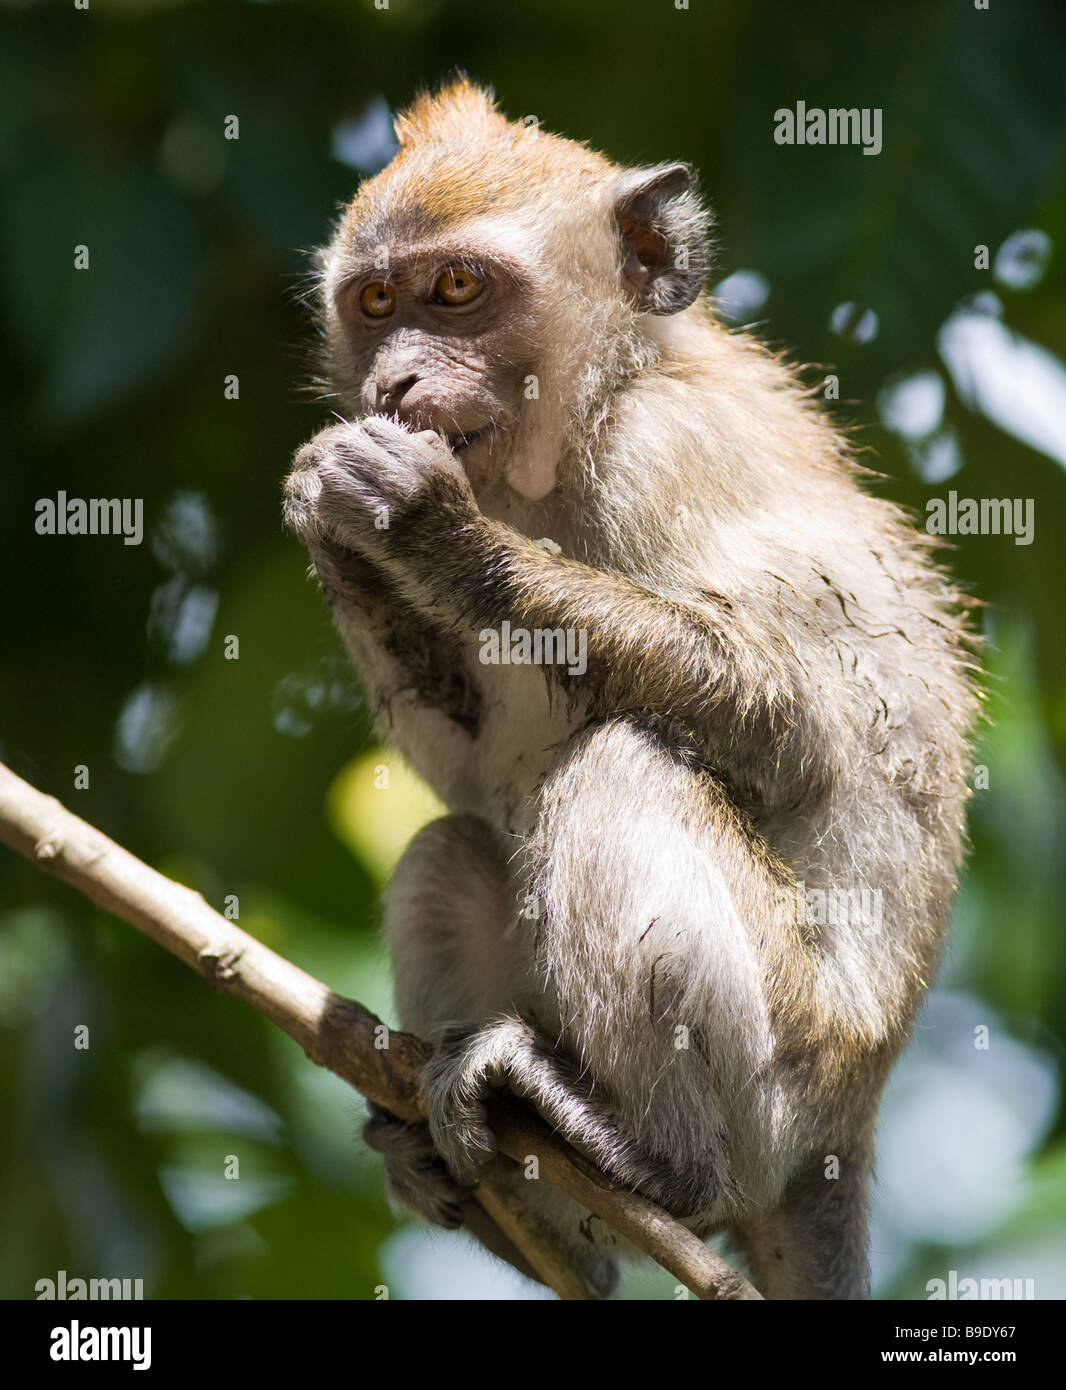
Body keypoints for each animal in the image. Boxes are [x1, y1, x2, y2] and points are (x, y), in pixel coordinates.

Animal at [283, 79, 979, 1299]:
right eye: (373, 301)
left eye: (455, 289)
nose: (392, 382)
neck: (591, 414)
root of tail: (848, 1131)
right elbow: (470, 773)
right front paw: (341, 529)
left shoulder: (665, 452)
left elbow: (790, 726)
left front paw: (422, 529)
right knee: (451, 853)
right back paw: (517, 1207)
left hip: (783, 1082)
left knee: (623, 765)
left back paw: (657, 1163)